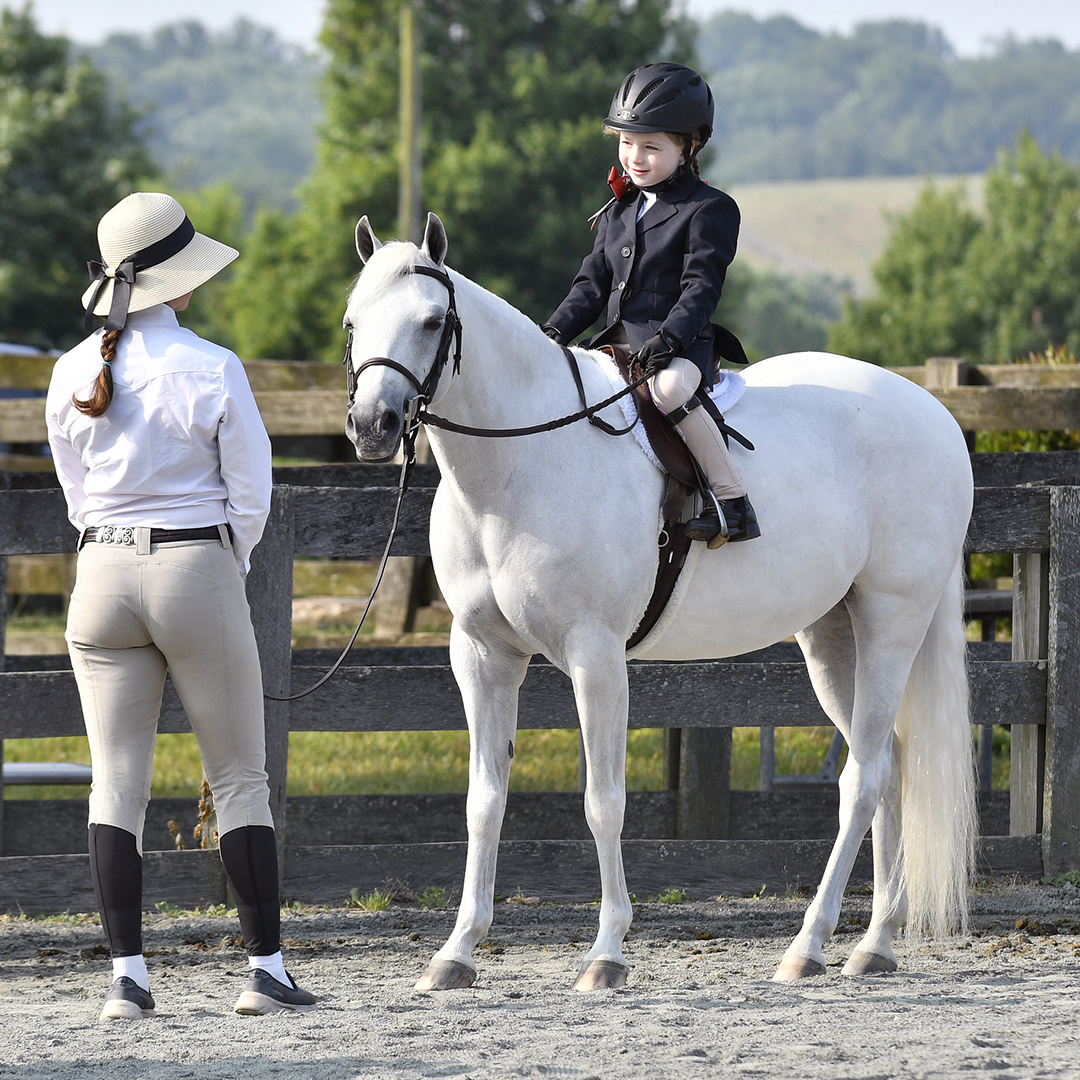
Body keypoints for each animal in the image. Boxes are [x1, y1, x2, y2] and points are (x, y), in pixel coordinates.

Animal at [342, 212, 977, 992]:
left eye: (433, 321)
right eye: (352, 322)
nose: (372, 426)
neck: (521, 466)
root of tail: (933, 414)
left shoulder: (596, 656)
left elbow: (603, 803)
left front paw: (606, 954)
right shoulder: (483, 656)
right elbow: (484, 802)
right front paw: (456, 952)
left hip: (892, 621)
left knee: (862, 778)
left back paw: (809, 945)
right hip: (835, 637)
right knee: (883, 764)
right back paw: (873, 943)